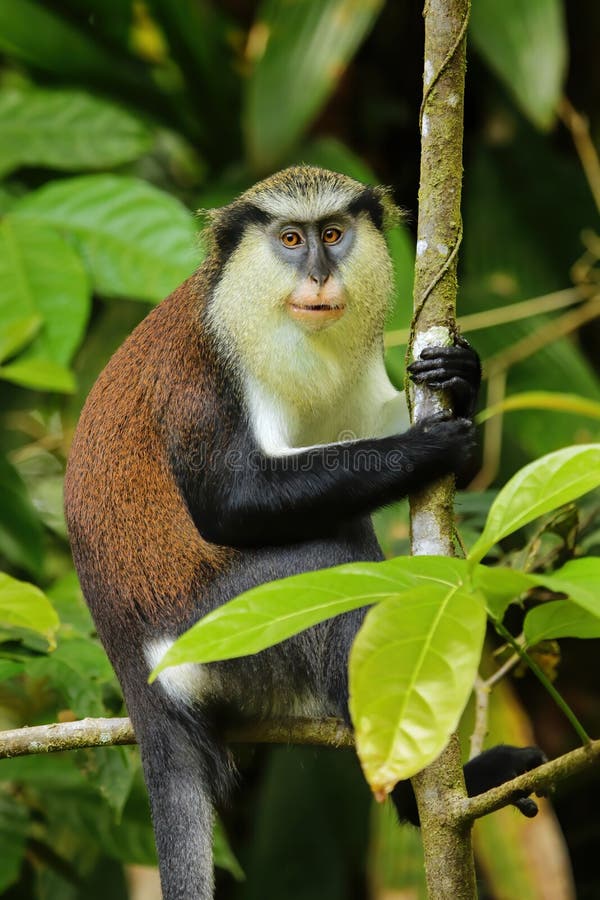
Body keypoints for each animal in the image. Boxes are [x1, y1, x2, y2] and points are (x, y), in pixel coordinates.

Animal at [64, 166, 544, 900]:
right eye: (290, 239)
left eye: (334, 234)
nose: (319, 274)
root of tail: (135, 671)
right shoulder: (203, 374)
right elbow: (234, 502)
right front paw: (430, 449)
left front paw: (463, 377)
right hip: (222, 634)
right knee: (331, 570)